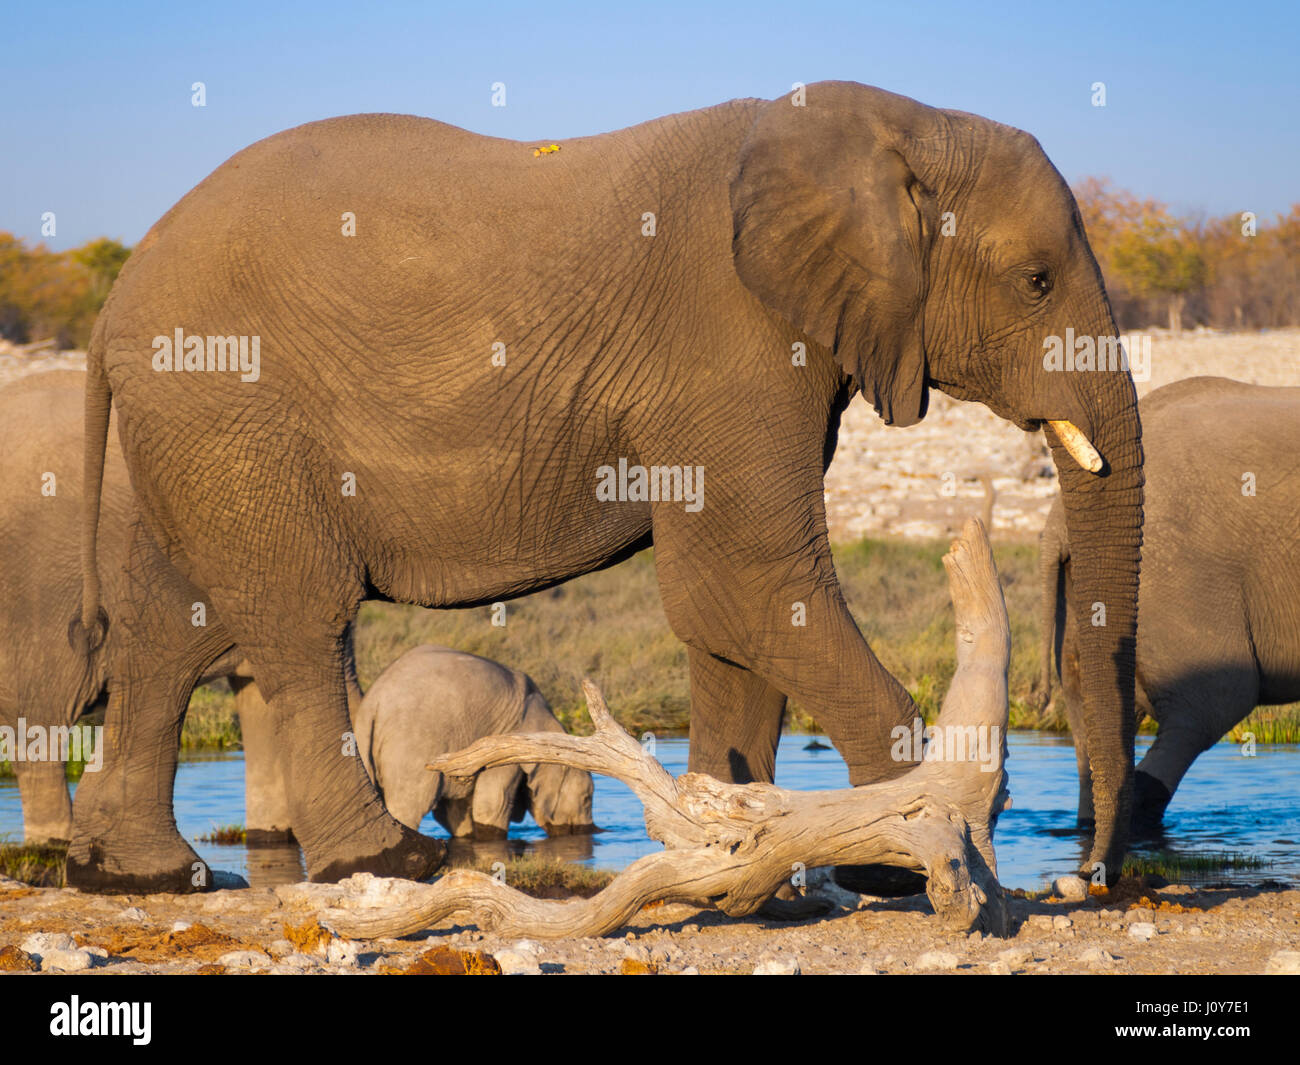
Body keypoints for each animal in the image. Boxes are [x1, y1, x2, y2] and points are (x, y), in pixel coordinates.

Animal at [352, 644, 595, 839]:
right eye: (586, 799)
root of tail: (374, 703)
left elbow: (455, 812)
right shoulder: (505, 741)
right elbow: (492, 804)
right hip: (411, 750)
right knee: (407, 809)